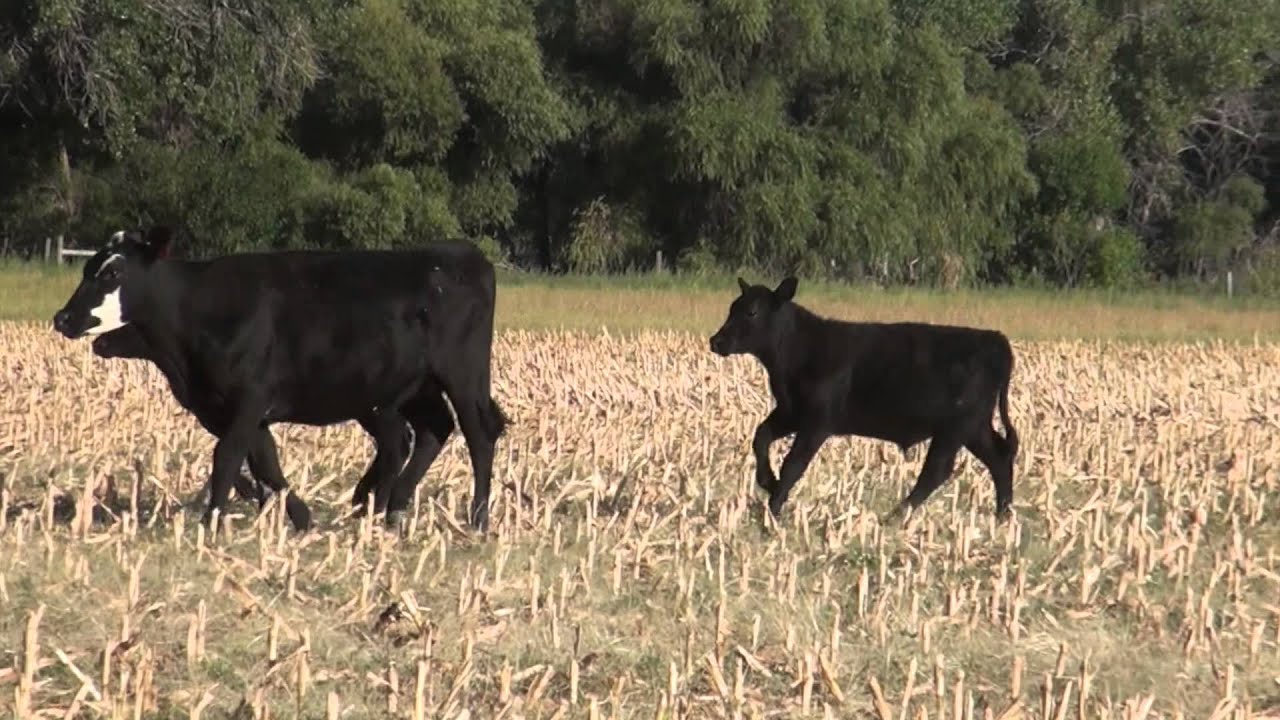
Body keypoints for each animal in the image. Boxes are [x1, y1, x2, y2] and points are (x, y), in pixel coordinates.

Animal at [52, 226, 508, 532]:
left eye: (111, 274)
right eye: (88, 267)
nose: (63, 318)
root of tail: (460, 253)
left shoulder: (250, 398)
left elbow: (228, 458)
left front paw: (211, 523)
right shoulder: (243, 411)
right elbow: (264, 465)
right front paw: (300, 517)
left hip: (462, 377)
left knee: (477, 436)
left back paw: (478, 518)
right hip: (413, 387)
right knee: (432, 431)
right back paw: (391, 508)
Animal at [708, 276, 1019, 522]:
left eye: (752, 312)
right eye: (732, 308)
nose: (716, 341)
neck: (798, 351)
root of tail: (996, 340)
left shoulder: (817, 421)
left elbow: (793, 464)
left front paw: (773, 510)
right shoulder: (790, 412)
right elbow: (760, 437)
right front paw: (769, 483)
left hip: (955, 426)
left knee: (937, 470)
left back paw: (894, 517)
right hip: (974, 426)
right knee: (999, 457)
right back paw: (1003, 516)